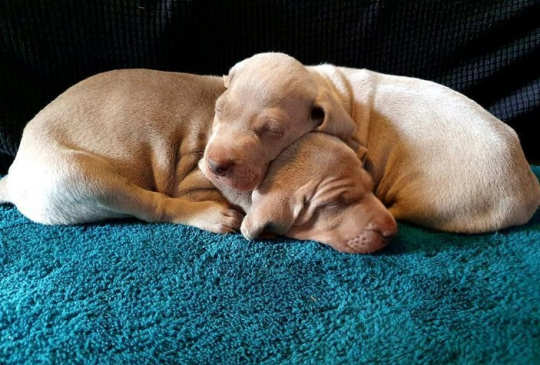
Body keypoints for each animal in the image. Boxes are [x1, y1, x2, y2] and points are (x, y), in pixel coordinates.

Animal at [204, 51, 540, 233]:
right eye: (219, 110)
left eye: (271, 130)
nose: (214, 165)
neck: (329, 88)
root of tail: (528, 187)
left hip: (429, 198)